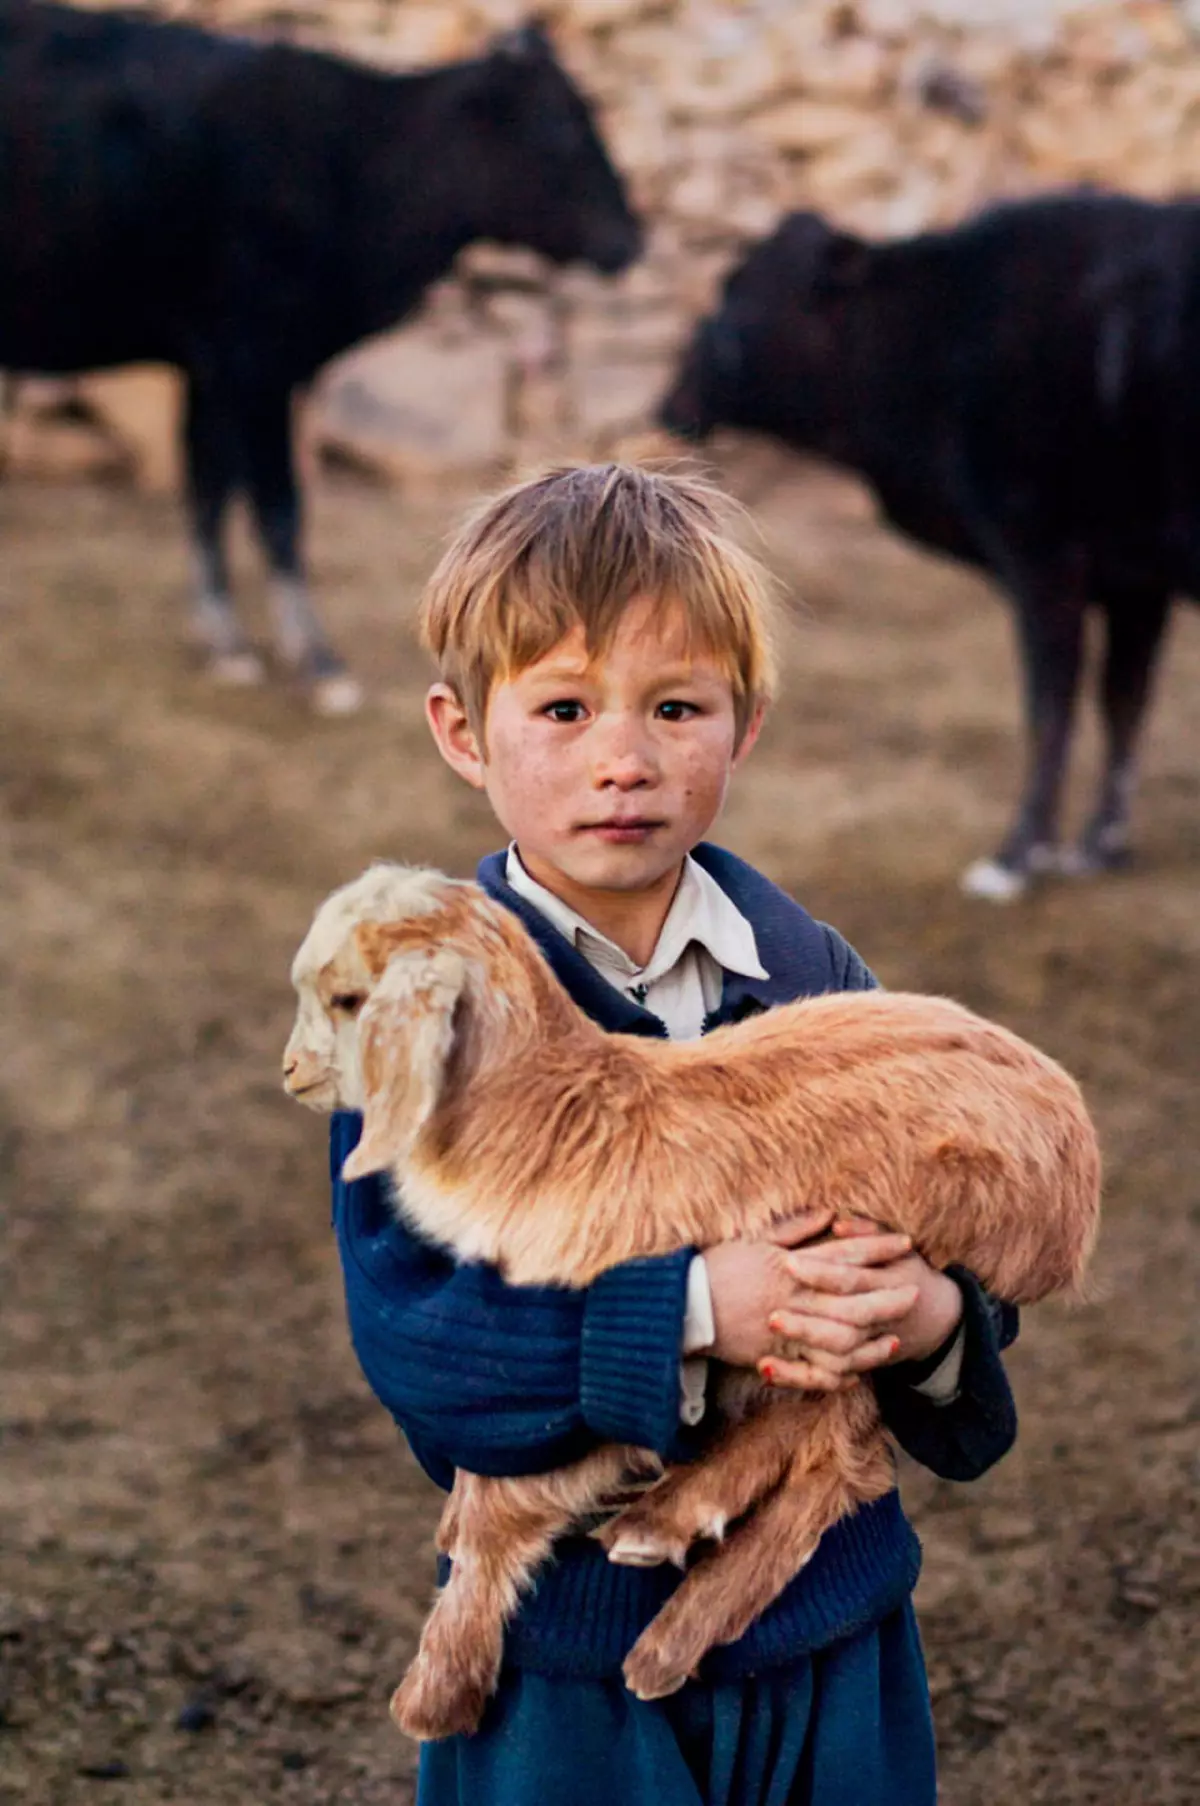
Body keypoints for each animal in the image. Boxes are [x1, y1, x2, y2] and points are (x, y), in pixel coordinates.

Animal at [0, 3, 643, 707]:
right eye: (560, 128)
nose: (631, 238)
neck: (350, 159)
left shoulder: (213, 368)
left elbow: (207, 487)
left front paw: (223, 639)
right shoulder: (256, 359)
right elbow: (279, 507)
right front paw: (315, 658)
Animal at [661, 194, 1192, 899]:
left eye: (738, 291)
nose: (671, 401)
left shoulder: (1044, 561)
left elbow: (1051, 707)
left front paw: (1016, 858)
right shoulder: (1135, 580)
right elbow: (1123, 703)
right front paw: (1100, 846)